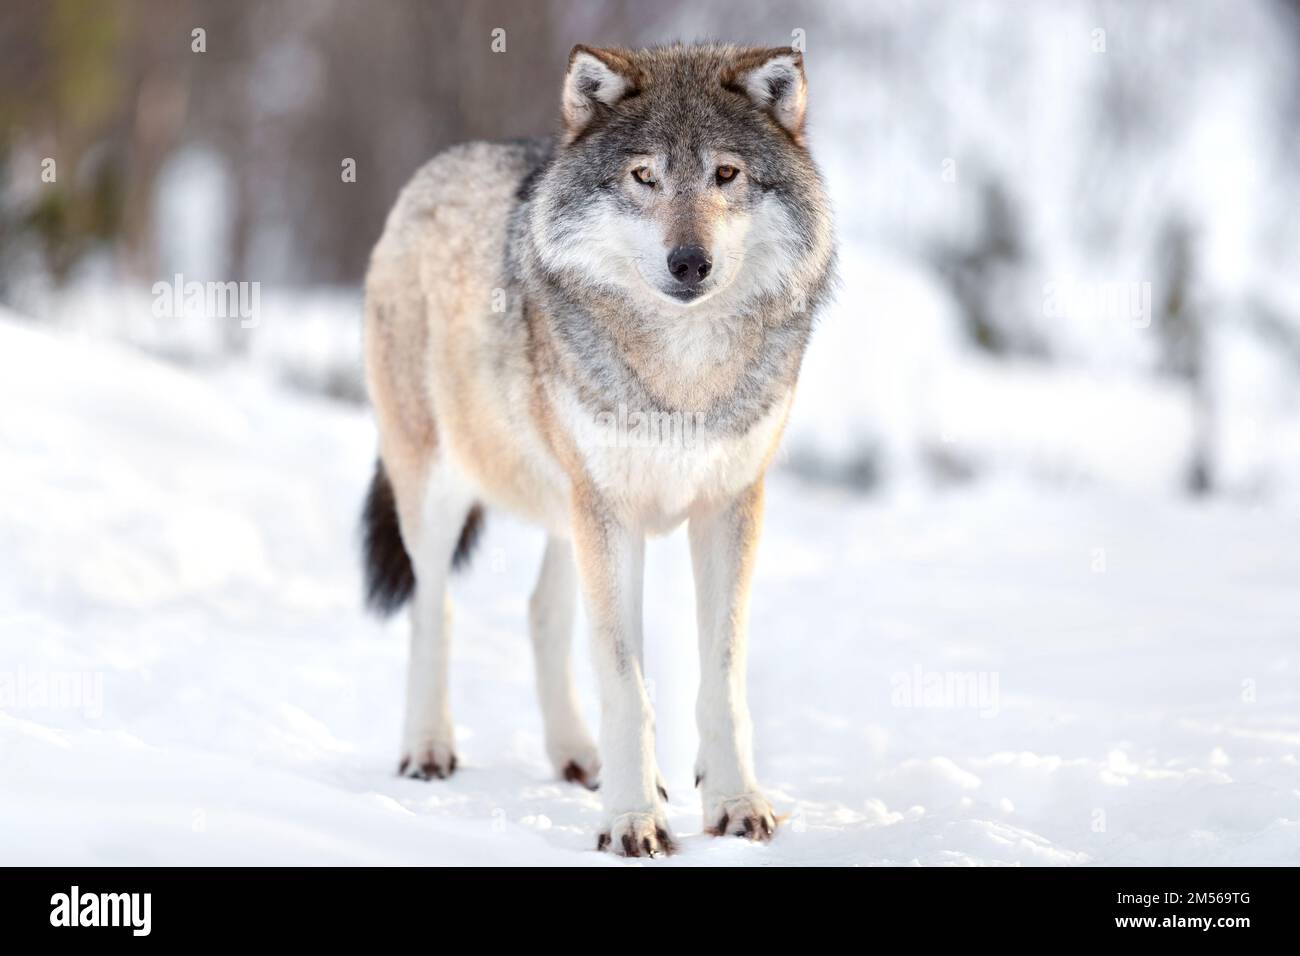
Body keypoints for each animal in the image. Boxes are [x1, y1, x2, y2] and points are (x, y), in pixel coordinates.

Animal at [361, 42, 835, 856]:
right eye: (644, 176)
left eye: (726, 174)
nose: (689, 263)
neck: (683, 377)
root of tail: (431, 172)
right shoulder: (610, 513)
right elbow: (626, 685)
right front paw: (633, 819)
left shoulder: (728, 505)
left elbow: (723, 677)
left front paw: (734, 804)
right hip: (443, 492)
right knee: (435, 607)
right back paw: (428, 749)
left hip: (565, 510)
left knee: (542, 613)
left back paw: (576, 757)